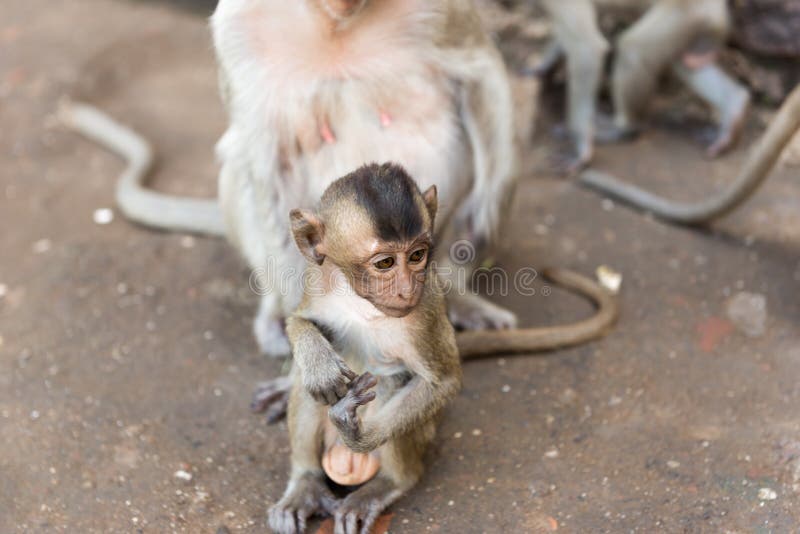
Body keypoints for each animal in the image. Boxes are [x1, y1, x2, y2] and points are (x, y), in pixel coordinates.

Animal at [269, 162, 617, 534]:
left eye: (417, 255)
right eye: (385, 263)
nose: (407, 288)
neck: (363, 302)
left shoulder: (426, 308)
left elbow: (442, 382)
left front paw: (361, 434)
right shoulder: (318, 279)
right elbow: (299, 322)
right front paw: (318, 363)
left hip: (424, 431)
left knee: (394, 386)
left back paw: (390, 481)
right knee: (308, 388)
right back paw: (306, 482)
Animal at [533, 0, 751, 172]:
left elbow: (587, 47)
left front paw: (581, 151)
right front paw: (543, 66)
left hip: (687, 12)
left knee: (633, 50)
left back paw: (623, 128)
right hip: (699, 27)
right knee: (684, 61)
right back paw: (734, 105)